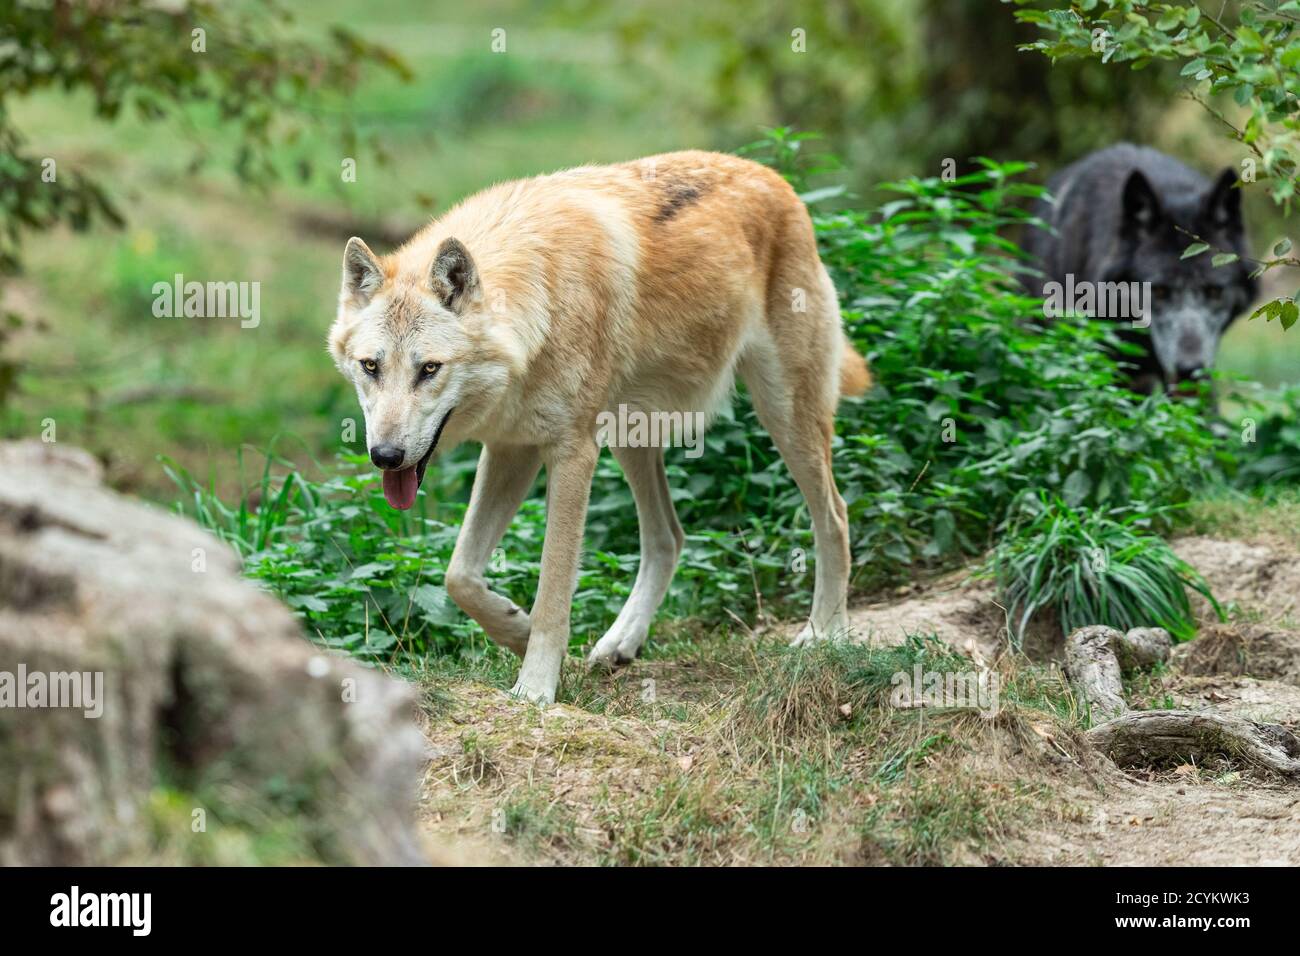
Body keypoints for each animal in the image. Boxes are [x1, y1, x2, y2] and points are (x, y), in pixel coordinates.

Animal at [328, 151, 870, 704]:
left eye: (429, 369)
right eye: (371, 366)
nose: (386, 456)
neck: (538, 305)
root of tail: (774, 177)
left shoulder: (571, 454)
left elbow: (552, 589)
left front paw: (535, 688)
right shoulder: (510, 448)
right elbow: (459, 574)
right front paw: (516, 631)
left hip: (782, 414)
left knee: (835, 515)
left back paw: (825, 633)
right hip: (630, 435)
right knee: (668, 537)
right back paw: (619, 643)